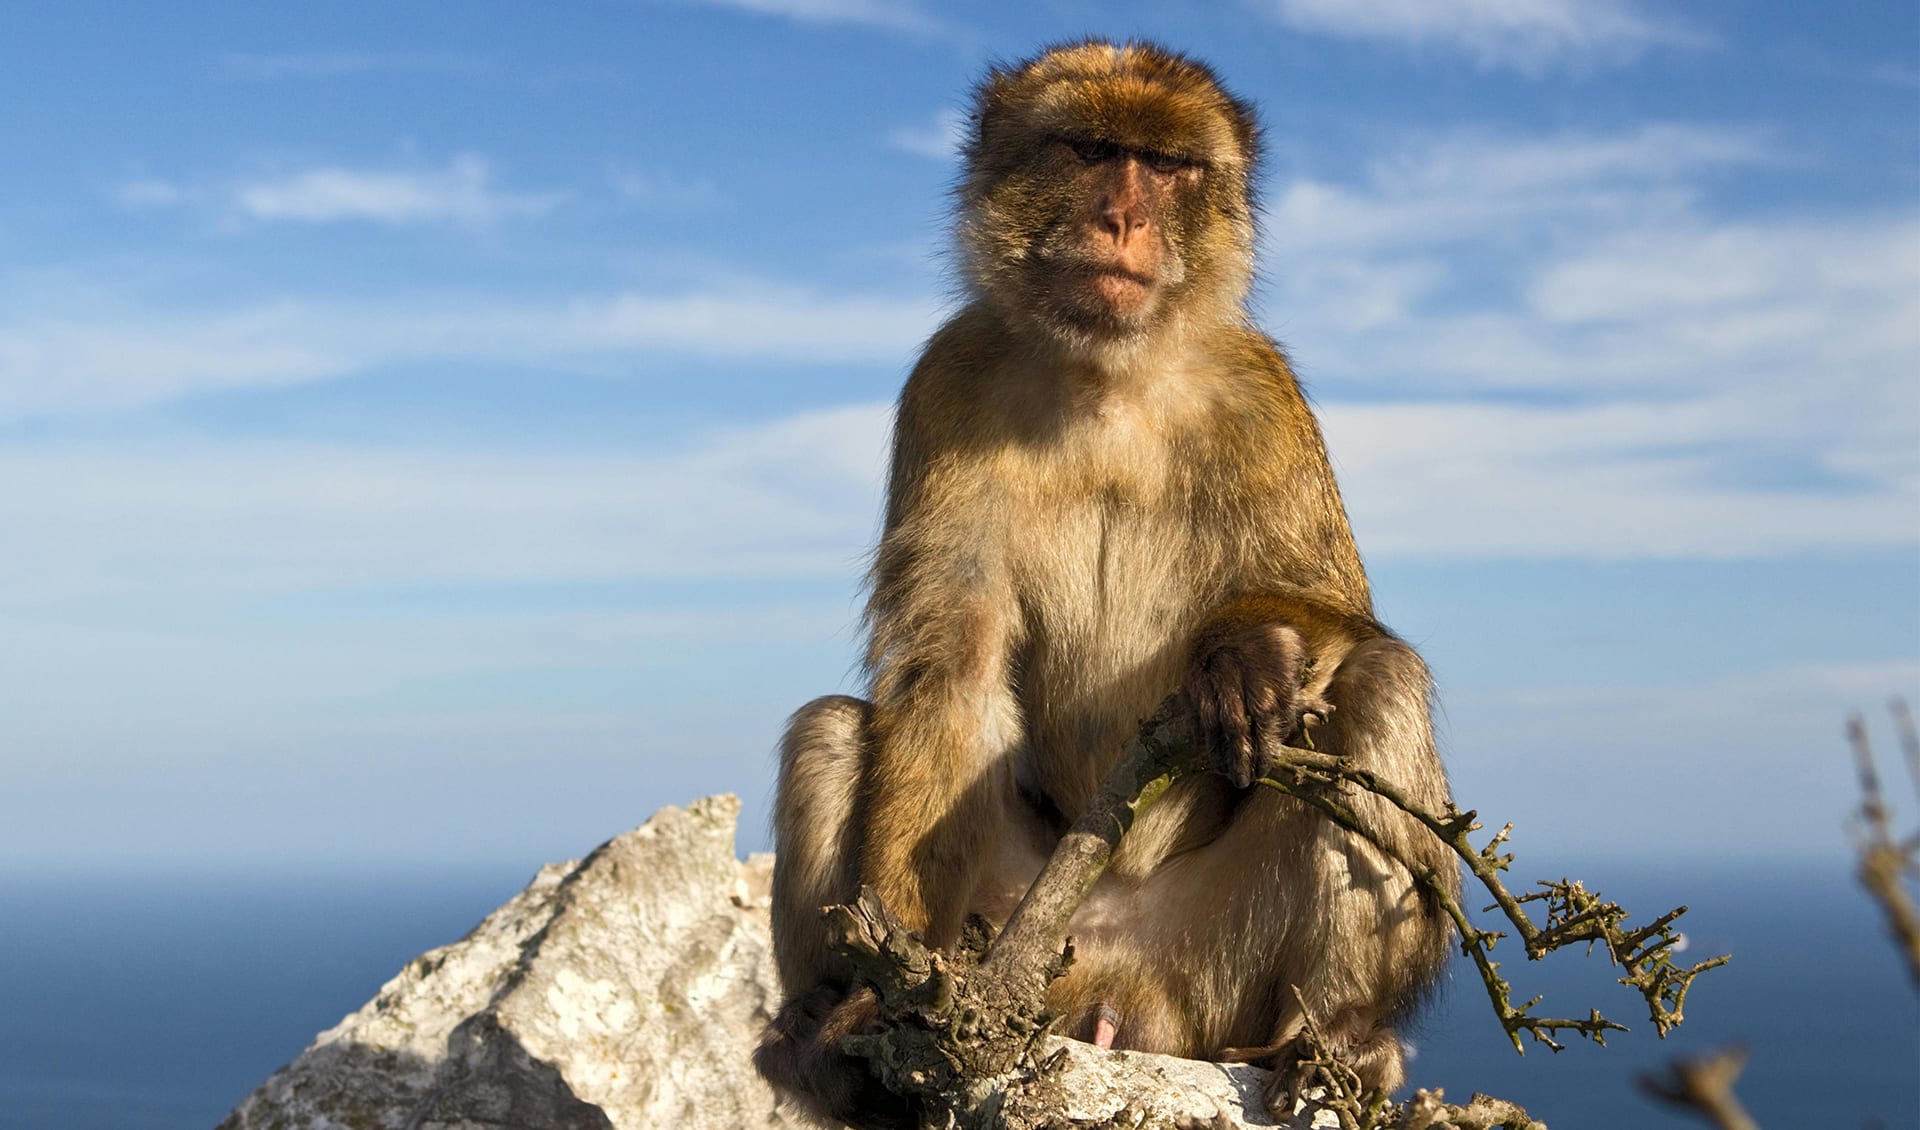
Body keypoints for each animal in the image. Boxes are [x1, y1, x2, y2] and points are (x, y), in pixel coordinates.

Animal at [756, 40, 1460, 1126]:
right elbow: (949, 670)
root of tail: (1115, 995)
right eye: (1092, 150)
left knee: (1380, 685)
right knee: (832, 729)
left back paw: (1340, 1036)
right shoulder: (947, 381)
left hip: (1215, 975)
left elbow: (1338, 602)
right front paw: (875, 992)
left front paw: (1241, 656)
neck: (1105, 373)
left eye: (1166, 166)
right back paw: (827, 1048)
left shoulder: (1262, 395)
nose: (1125, 217)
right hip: (1007, 929)